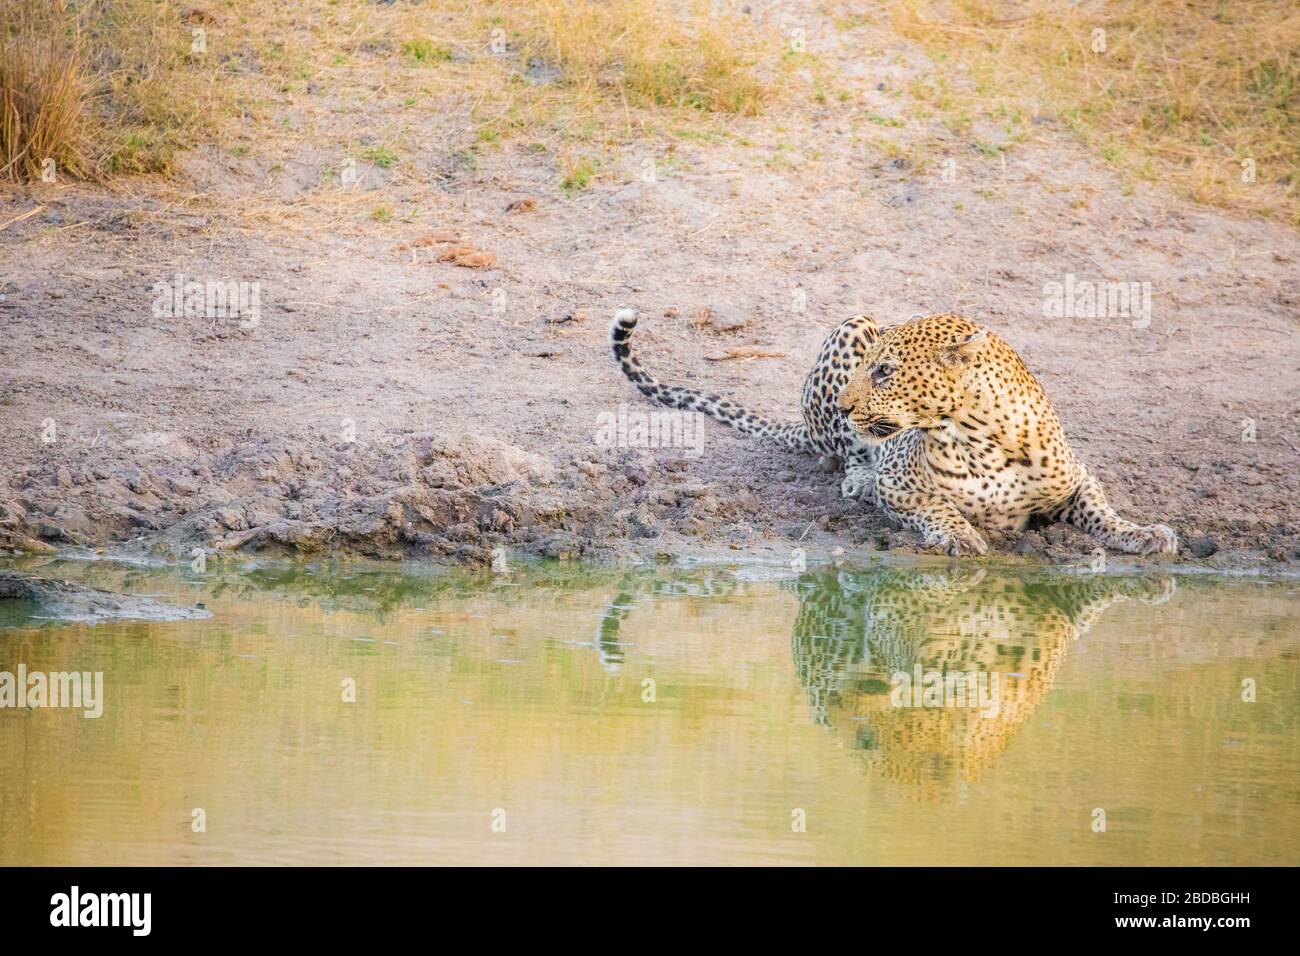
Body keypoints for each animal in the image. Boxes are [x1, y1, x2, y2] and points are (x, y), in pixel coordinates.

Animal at [610, 308, 1177, 558]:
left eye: (885, 372)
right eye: (871, 367)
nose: (846, 403)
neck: (982, 438)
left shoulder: (1075, 478)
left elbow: (1101, 510)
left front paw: (1143, 533)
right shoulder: (900, 485)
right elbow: (936, 508)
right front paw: (961, 535)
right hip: (851, 324)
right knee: (844, 453)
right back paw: (855, 477)